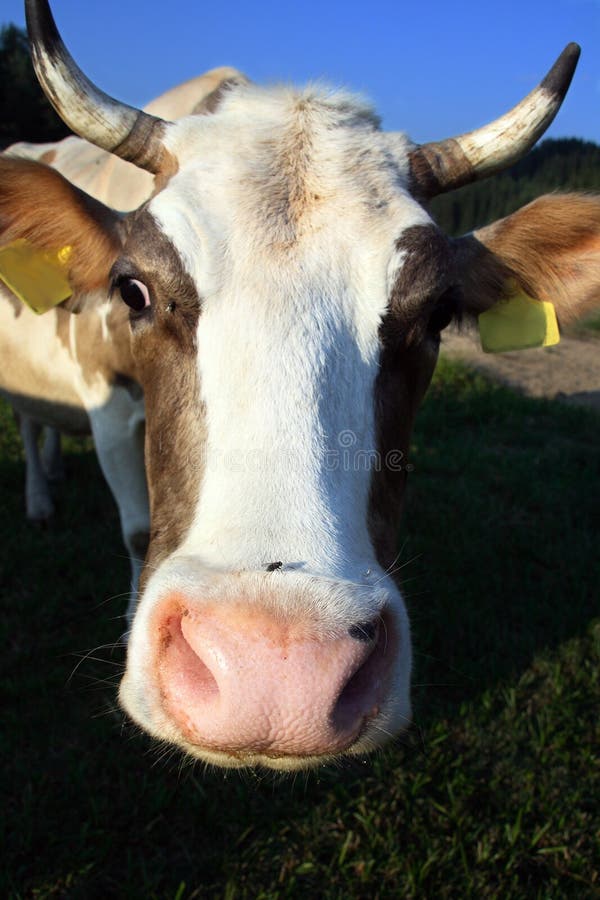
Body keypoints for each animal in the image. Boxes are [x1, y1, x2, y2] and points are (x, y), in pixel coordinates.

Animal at [2, 0, 599, 771]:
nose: (274, 673)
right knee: (30, 420)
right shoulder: (104, 398)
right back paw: (40, 494)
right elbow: (135, 528)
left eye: (438, 312)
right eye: (132, 290)